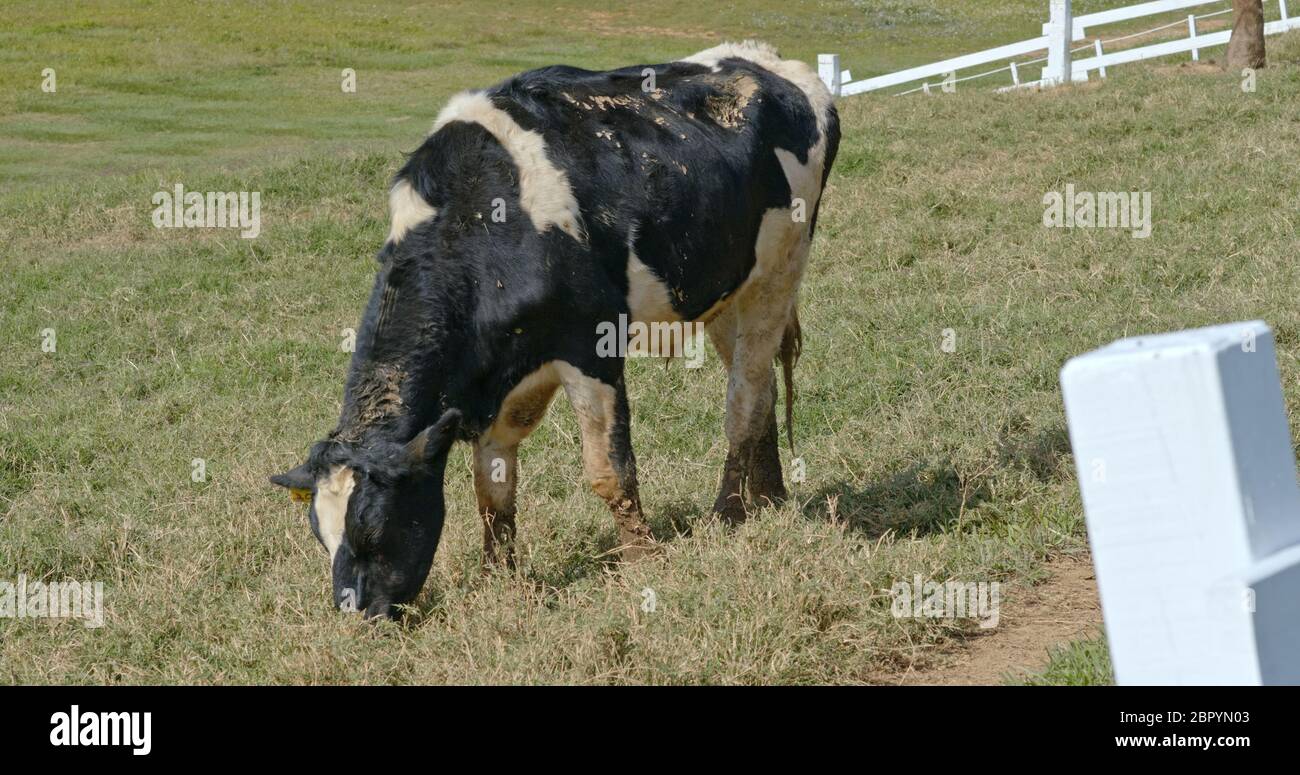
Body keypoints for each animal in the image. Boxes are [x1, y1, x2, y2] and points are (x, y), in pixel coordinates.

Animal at [271, 41, 840, 619]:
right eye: (322, 534)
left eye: (375, 528)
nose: (356, 617)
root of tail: (765, 59)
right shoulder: (501, 380)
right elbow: (491, 486)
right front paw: (498, 579)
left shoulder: (591, 346)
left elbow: (609, 470)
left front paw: (642, 561)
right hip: (728, 290)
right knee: (762, 385)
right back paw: (769, 498)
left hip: (779, 271)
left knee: (744, 398)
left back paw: (728, 514)